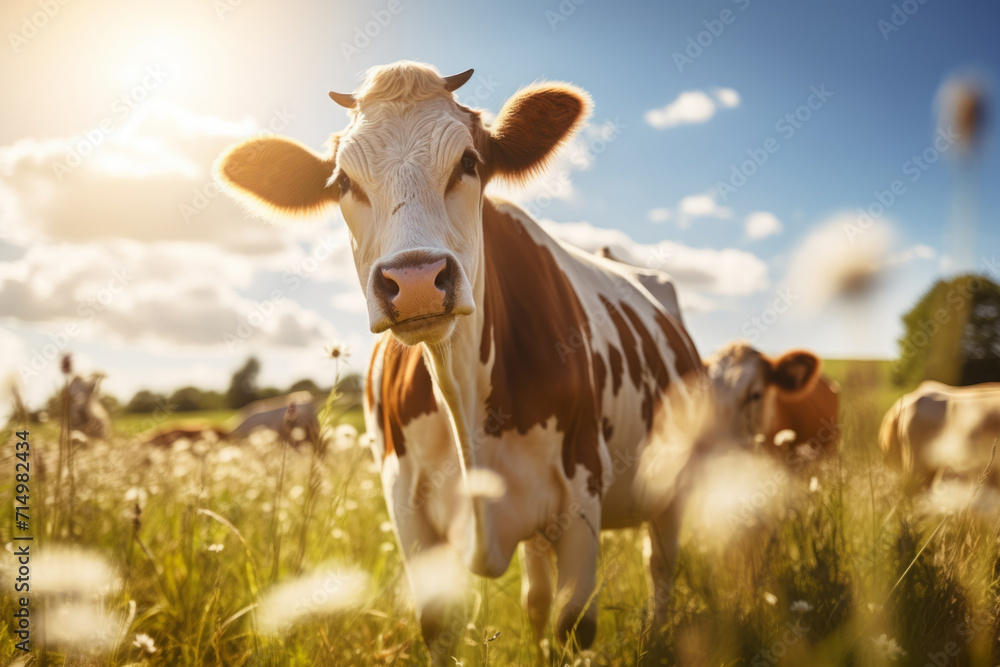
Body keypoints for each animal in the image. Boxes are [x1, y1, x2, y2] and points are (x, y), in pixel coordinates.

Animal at [215, 61, 704, 656]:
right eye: (342, 182)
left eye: (469, 162)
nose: (415, 281)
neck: (463, 394)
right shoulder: (405, 507)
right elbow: (444, 624)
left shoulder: (582, 493)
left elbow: (573, 625)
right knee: (536, 597)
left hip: (675, 482)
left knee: (660, 568)